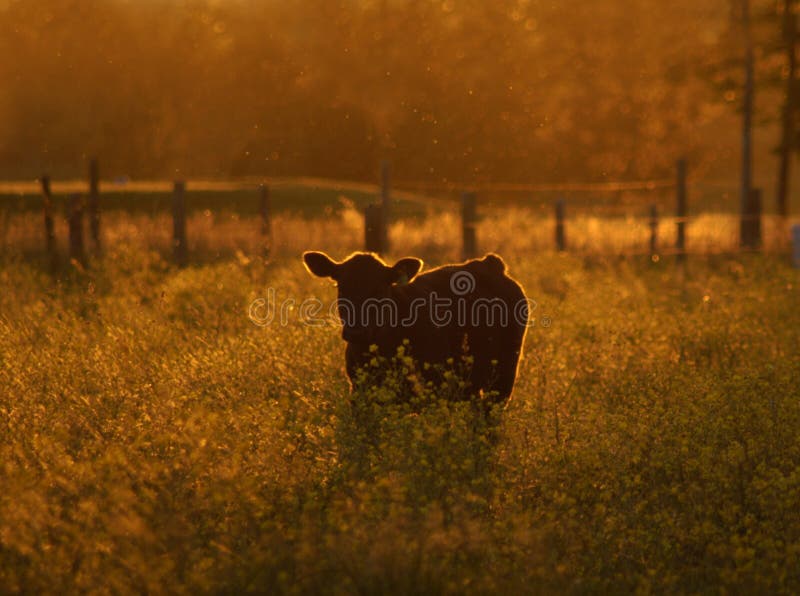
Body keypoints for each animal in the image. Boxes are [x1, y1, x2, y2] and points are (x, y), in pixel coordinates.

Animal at [302, 251, 529, 409]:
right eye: (341, 288)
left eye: (379, 289)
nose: (357, 332)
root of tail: (490, 263)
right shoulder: (359, 390)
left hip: (504, 375)